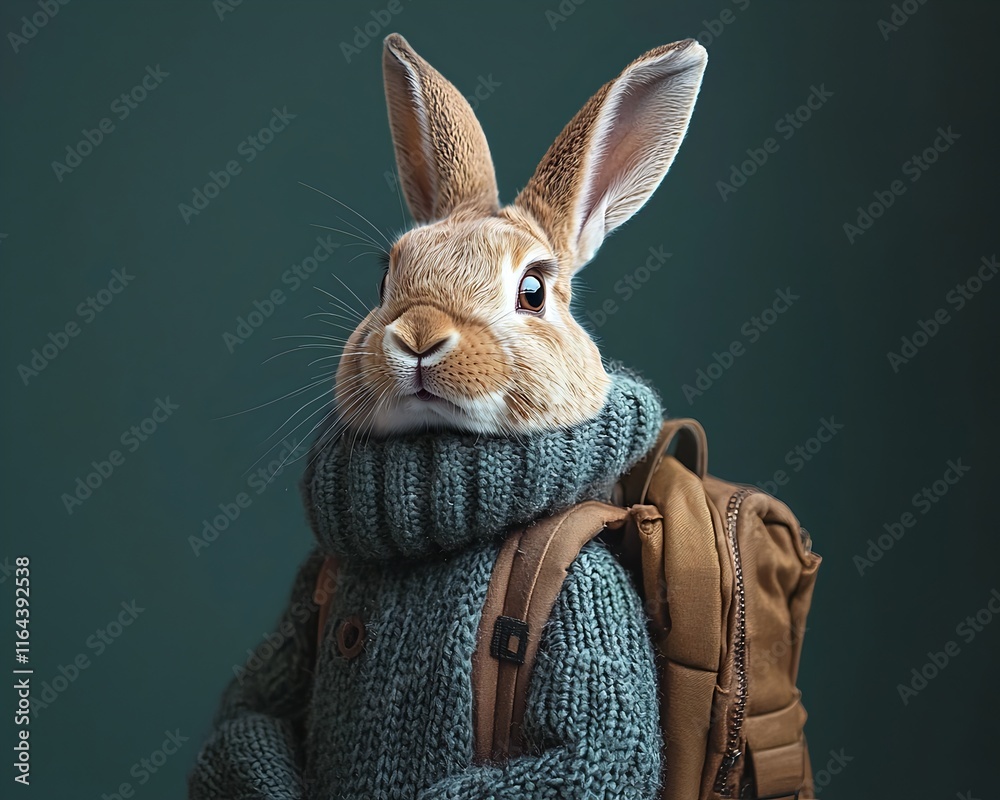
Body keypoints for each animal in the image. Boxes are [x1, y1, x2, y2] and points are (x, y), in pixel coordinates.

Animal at [189, 32, 707, 800]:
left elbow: (592, 751)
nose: (418, 336)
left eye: (533, 290)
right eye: (386, 274)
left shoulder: (586, 589)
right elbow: (248, 709)